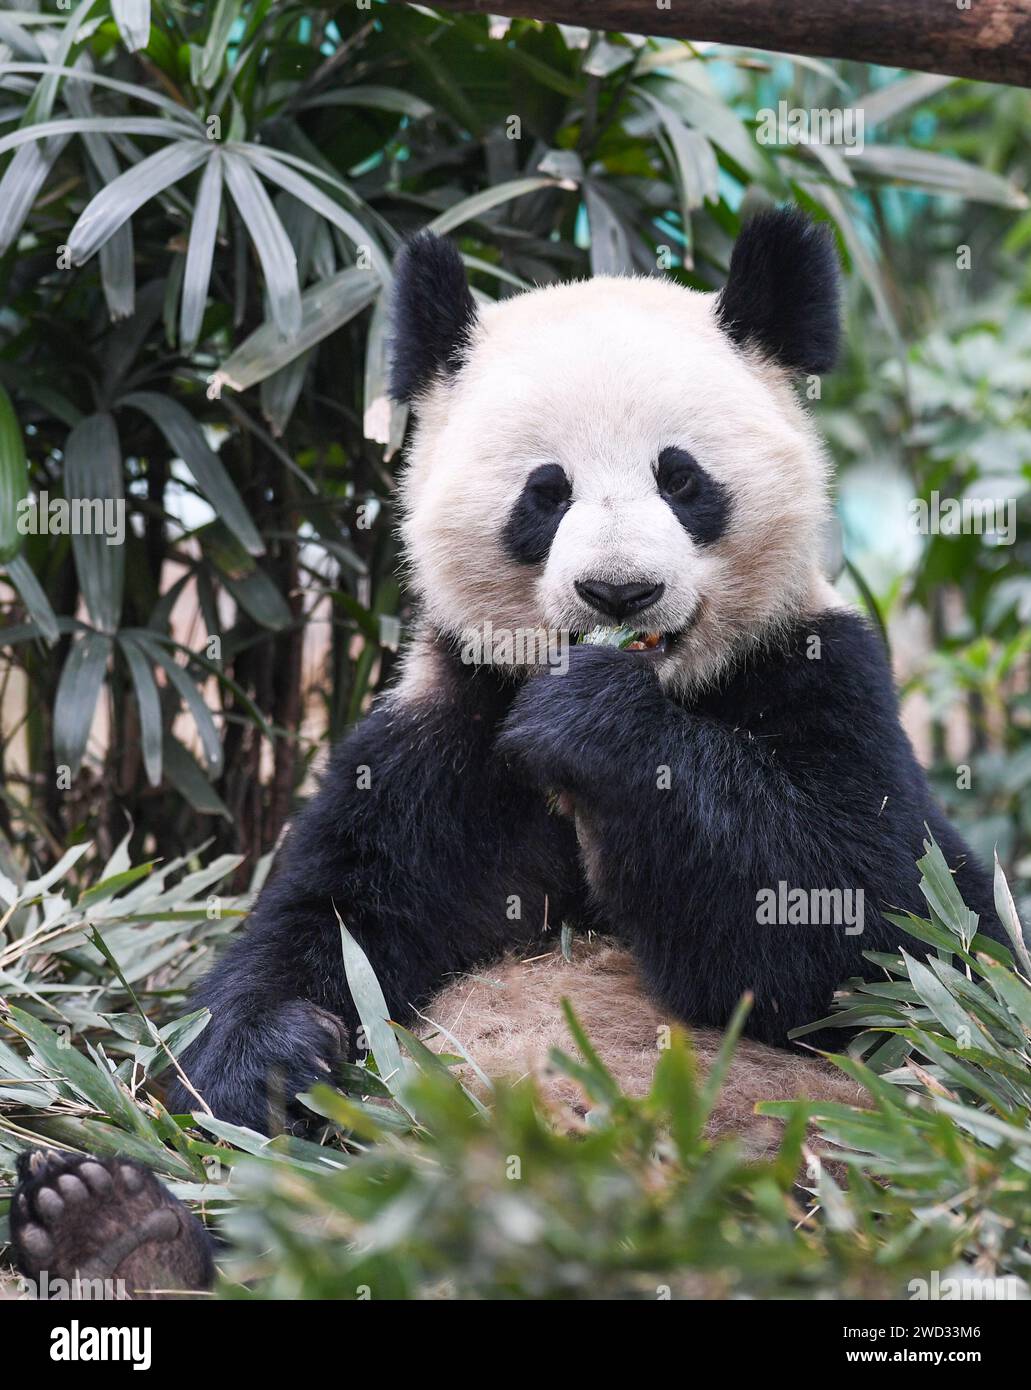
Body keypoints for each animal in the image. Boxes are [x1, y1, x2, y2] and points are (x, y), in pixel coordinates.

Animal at [8, 207, 1002, 1295]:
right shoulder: (437, 741)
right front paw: (276, 1050)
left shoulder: (824, 680)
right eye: (545, 492)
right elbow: (321, 927)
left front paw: (596, 728)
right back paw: (112, 1225)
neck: (669, 685)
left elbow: (869, 933)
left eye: (680, 478)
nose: (619, 592)